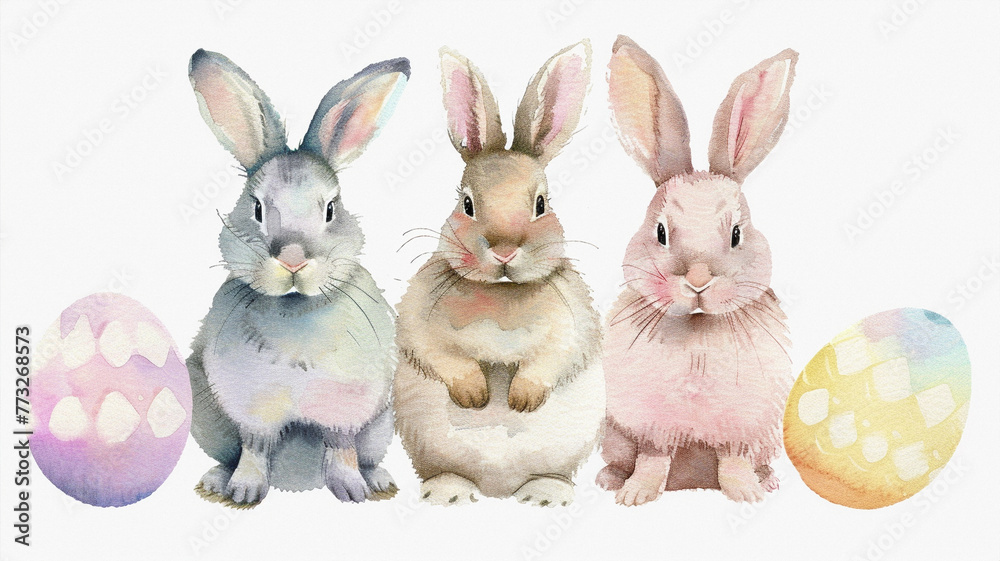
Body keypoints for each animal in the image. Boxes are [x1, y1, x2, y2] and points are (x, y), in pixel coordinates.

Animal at [185, 49, 408, 507]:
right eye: (255, 208)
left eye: (331, 209)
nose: (292, 261)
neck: (295, 308)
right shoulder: (252, 405)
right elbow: (254, 446)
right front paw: (244, 491)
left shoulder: (346, 407)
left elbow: (341, 446)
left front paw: (352, 489)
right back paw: (217, 480)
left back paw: (378, 480)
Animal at [393, 40, 605, 507]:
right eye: (467, 204)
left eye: (541, 204)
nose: (505, 250)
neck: (503, 294)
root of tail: (498, 489)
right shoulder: (418, 316)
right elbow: (436, 352)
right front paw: (475, 394)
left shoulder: (574, 322)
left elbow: (554, 357)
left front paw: (521, 399)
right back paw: (449, 492)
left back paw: (544, 494)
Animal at [596, 36, 797, 505]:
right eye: (661, 232)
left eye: (737, 234)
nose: (699, 281)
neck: (698, 325)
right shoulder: (652, 428)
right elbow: (653, 460)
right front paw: (635, 496)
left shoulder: (742, 429)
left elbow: (734, 461)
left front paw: (747, 495)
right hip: (613, 436)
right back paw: (609, 481)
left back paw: (768, 481)